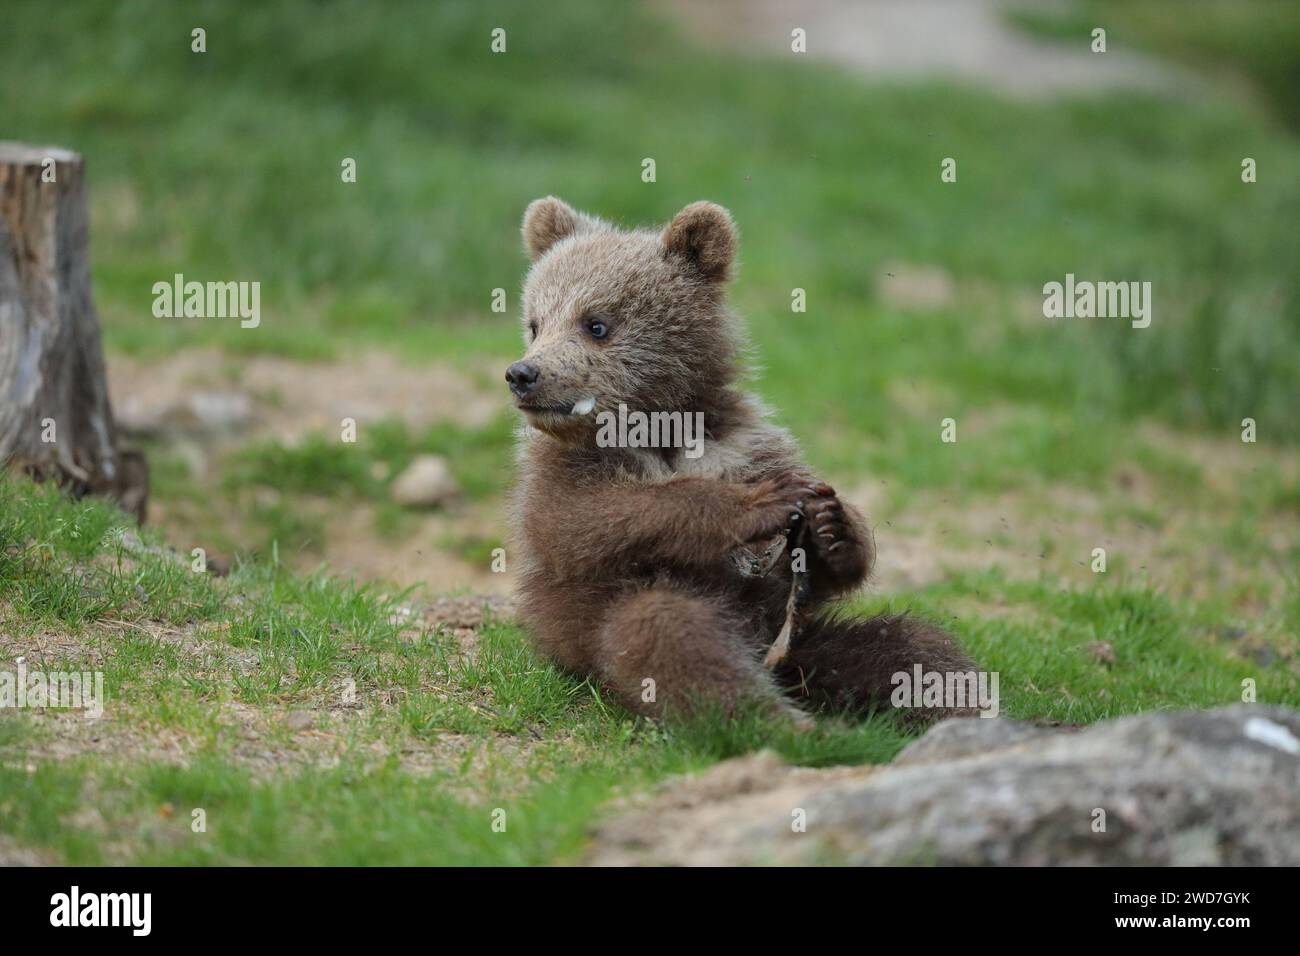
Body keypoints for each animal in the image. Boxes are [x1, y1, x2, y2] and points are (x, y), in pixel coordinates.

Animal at [507, 196, 977, 724]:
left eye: (596, 323)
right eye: (535, 322)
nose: (524, 374)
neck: (662, 425)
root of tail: (781, 670)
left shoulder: (746, 444)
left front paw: (832, 523)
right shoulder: (561, 470)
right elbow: (581, 520)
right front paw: (760, 504)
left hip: (805, 643)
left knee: (915, 648)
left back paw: (958, 704)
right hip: (609, 628)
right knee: (668, 632)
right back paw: (784, 720)